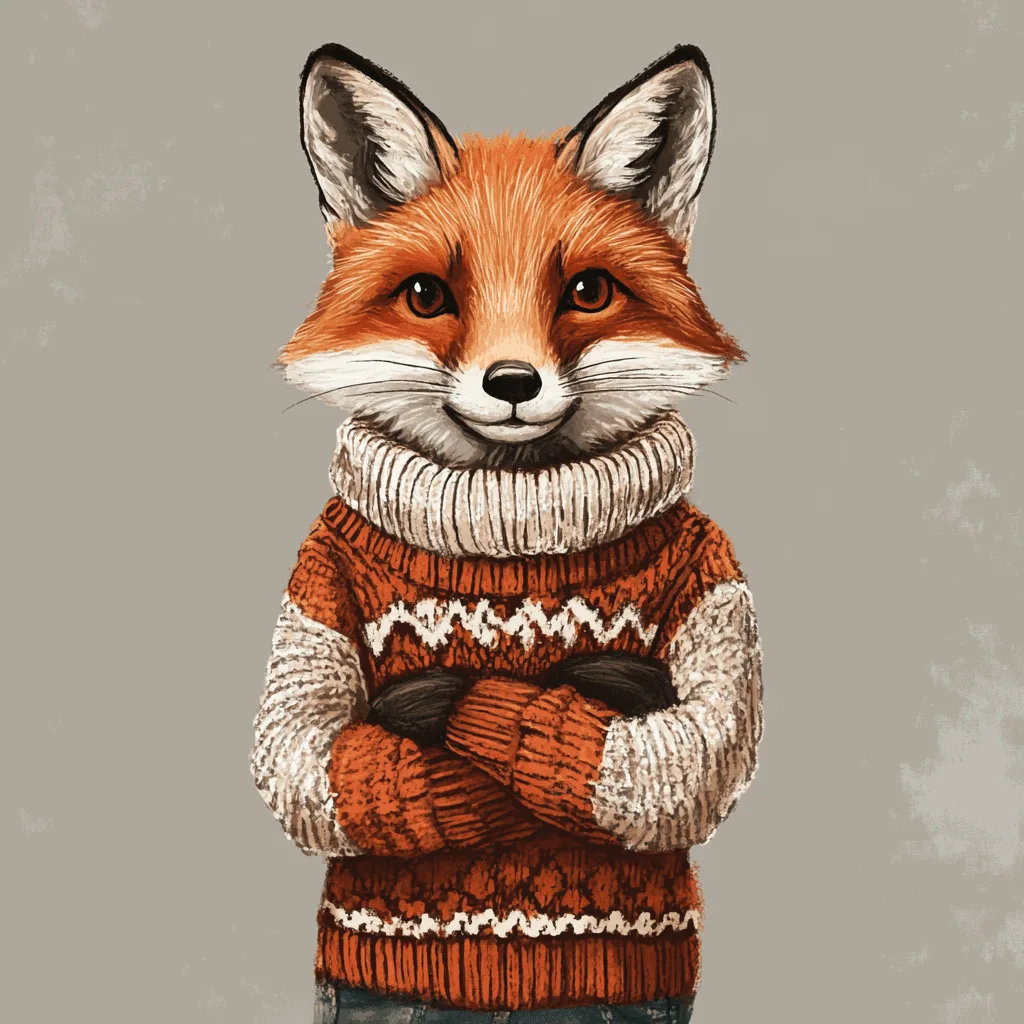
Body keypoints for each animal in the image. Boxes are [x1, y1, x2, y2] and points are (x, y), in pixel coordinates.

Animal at [253, 42, 763, 1024]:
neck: (514, 524)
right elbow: (310, 745)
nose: (513, 382)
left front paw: (521, 704)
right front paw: (450, 709)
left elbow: (698, 738)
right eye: (427, 295)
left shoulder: (713, 567)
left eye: (588, 292)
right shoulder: (315, 574)